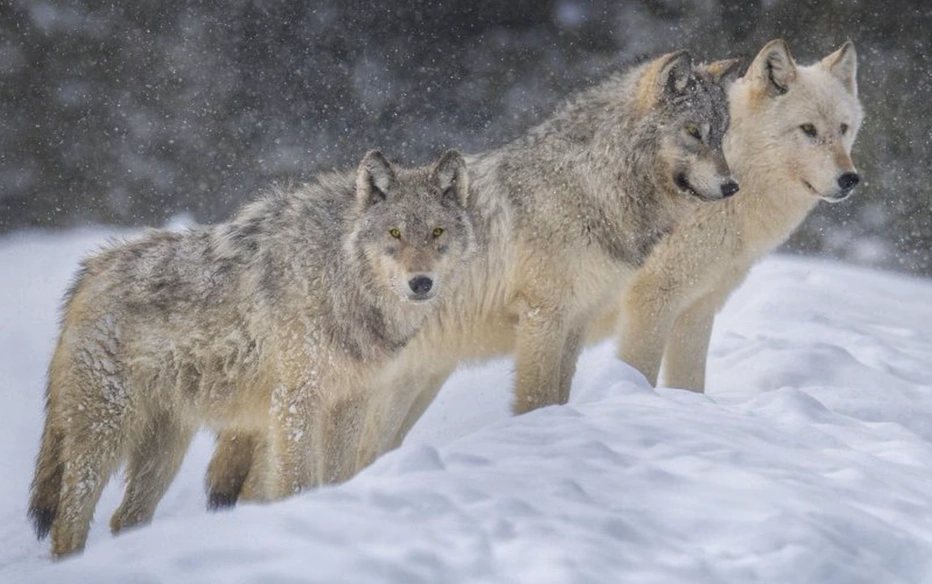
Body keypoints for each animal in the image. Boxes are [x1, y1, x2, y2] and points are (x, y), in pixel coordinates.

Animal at [28, 149, 476, 557]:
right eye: (395, 234)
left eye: (437, 232)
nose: (421, 283)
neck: (338, 276)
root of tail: (90, 271)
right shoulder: (294, 403)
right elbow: (296, 482)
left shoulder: (350, 402)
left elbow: (336, 475)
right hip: (105, 435)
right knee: (68, 527)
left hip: (165, 449)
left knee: (125, 518)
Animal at [591, 39, 863, 392]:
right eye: (808, 129)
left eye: (843, 128)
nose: (850, 179)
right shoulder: (651, 302)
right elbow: (641, 372)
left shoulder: (698, 309)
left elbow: (690, 384)